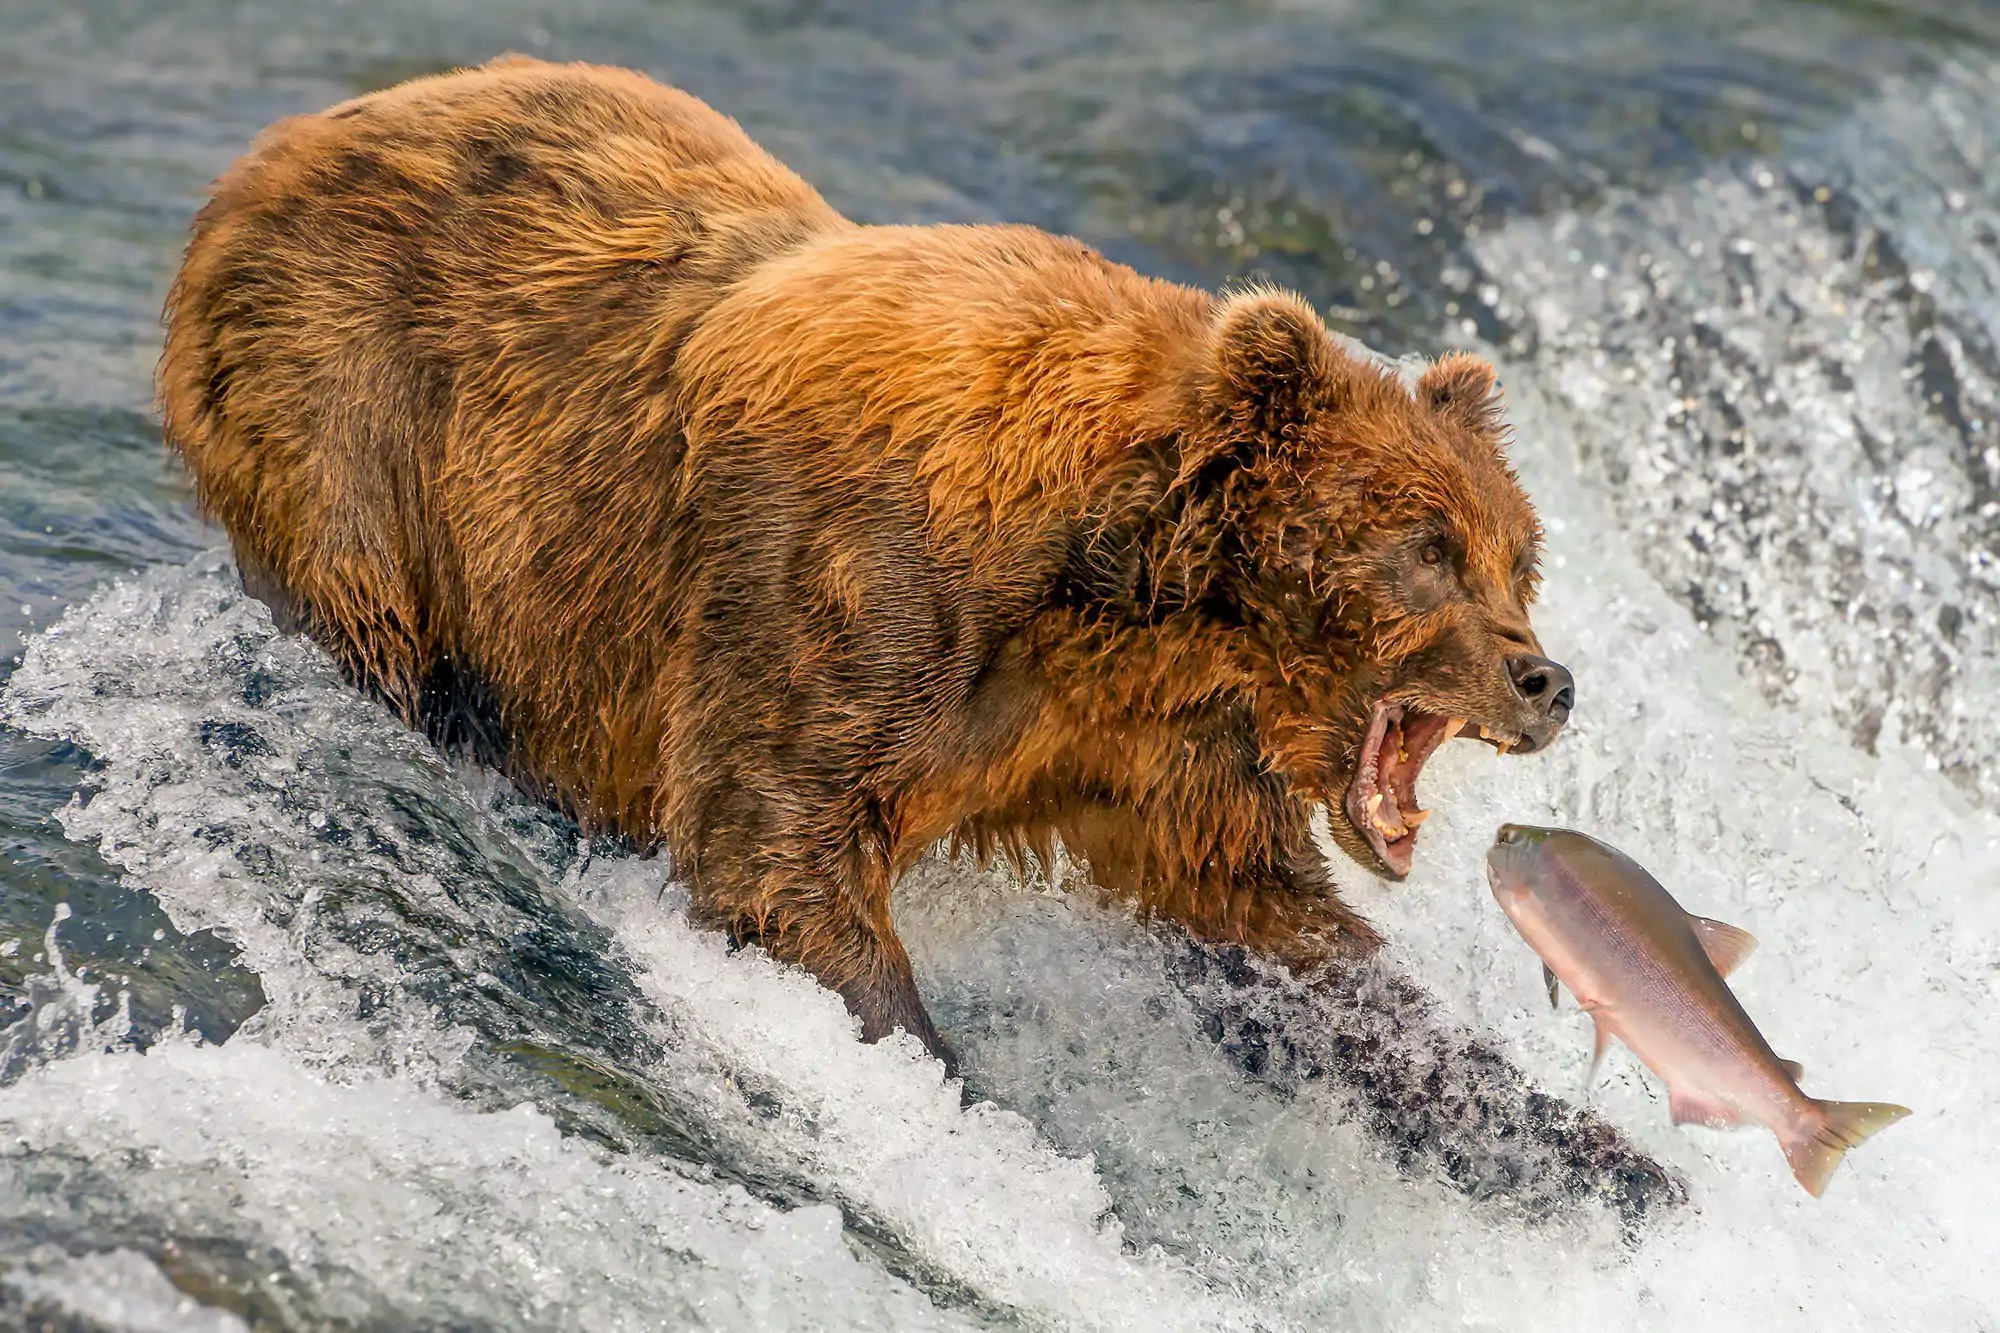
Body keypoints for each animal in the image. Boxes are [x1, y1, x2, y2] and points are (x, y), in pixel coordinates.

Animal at [161, 57, 1667, 1215]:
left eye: (1517, 554)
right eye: (1426, 546)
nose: (1545, 676)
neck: (1119, 587)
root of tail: (280, 144)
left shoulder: (1142, 744)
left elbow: (1274, 933)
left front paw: (1601, 1156)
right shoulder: (852, 587)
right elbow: (777, 841)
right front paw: (944, 1088)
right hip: (356, 416)